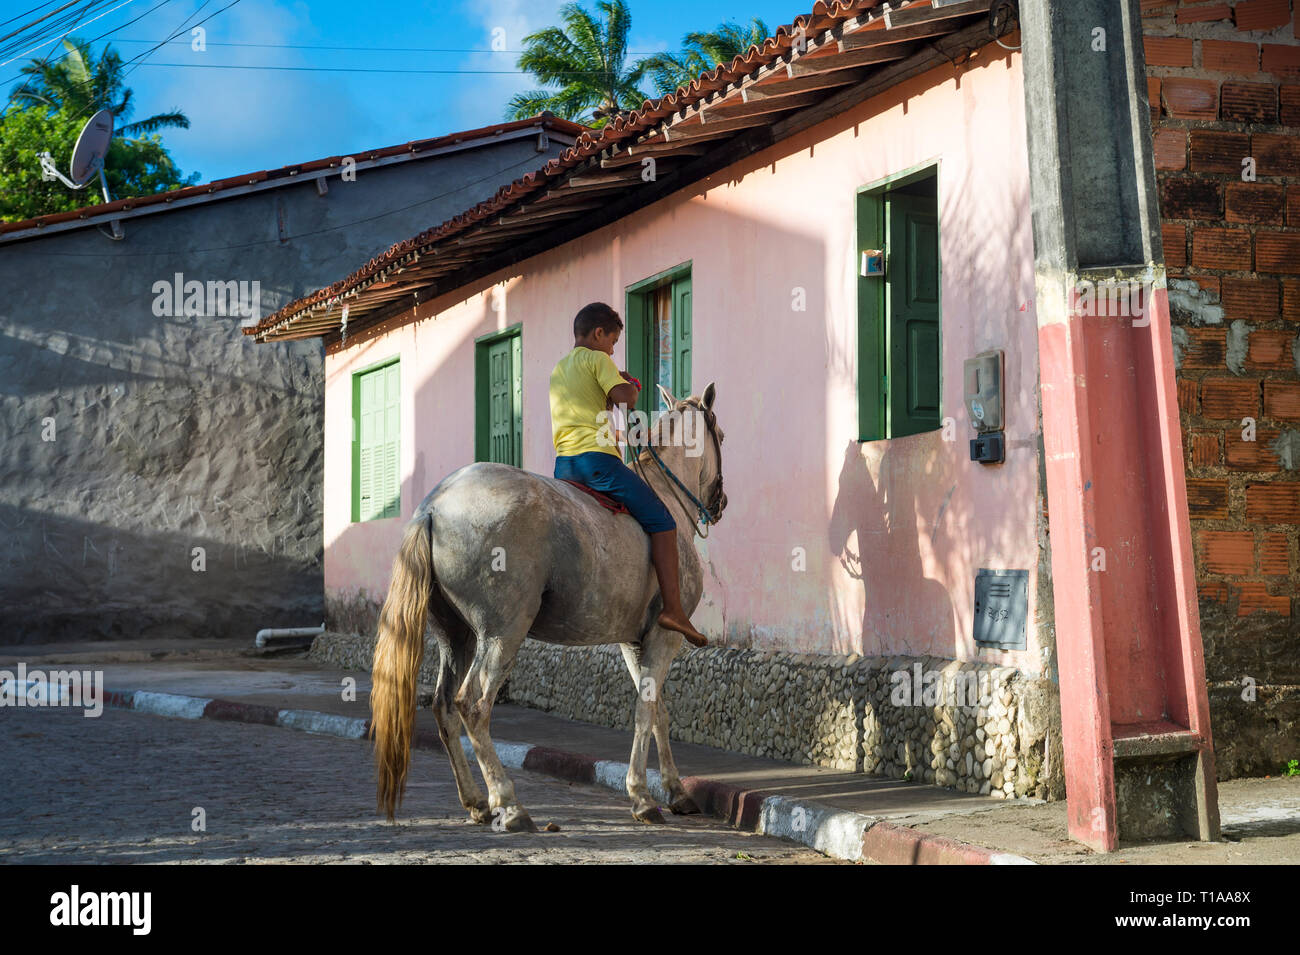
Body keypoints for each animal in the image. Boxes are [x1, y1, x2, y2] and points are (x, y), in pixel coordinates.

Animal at [369, 383, 726, 831]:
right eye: (722, 436)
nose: (720, 501)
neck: (666, 497)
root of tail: (435, 506)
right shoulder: (665, 636)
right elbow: (647, 710)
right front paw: (643, 798)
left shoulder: (633, 641)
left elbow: (657, 709)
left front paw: (675, 791)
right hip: (503, 633)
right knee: (472, 705)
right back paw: (509, 803)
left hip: (457, 636)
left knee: (444, 706)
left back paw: (477, 801)